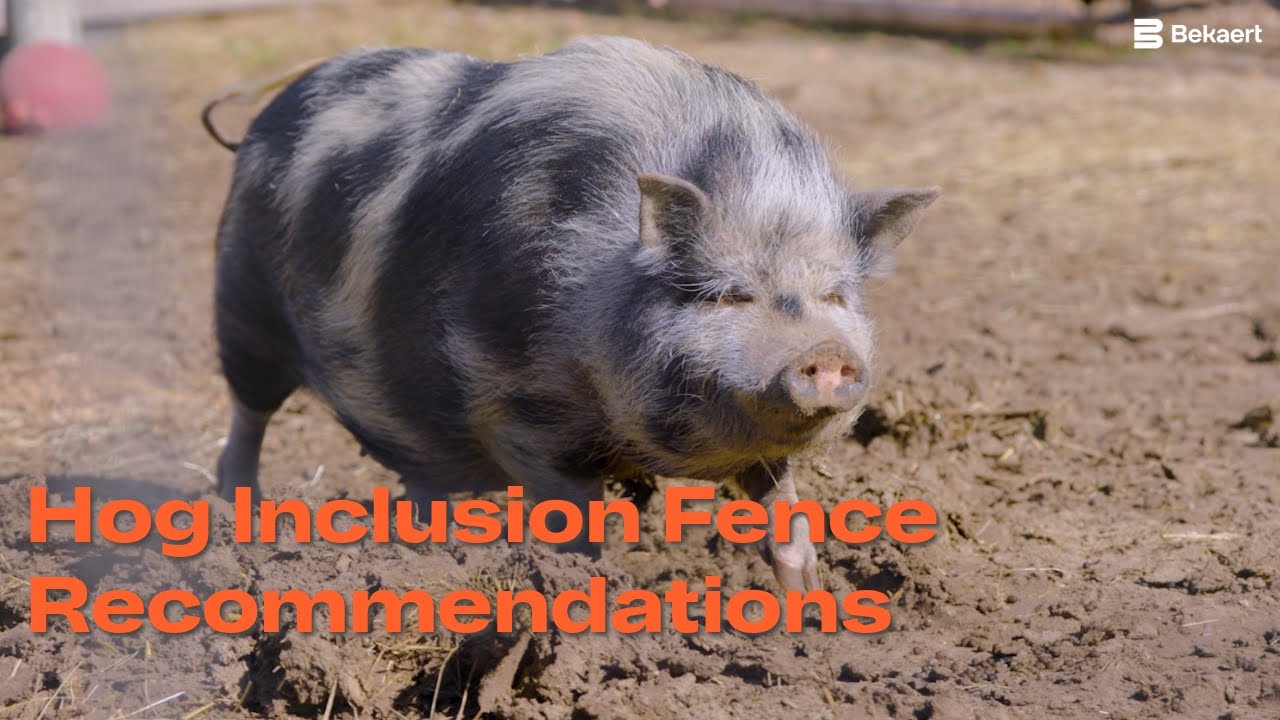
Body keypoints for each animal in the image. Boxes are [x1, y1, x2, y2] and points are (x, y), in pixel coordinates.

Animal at [211, 37, 938, 591]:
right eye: (728, 294)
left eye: (835, 296)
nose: (824, 353)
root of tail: (271, 113)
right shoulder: (520, 411)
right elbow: (574, 520)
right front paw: (582, 589)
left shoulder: (762, 443)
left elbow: (782, 512)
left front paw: (807, 601)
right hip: (242, 304)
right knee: (249, 411)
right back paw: (237, 511)